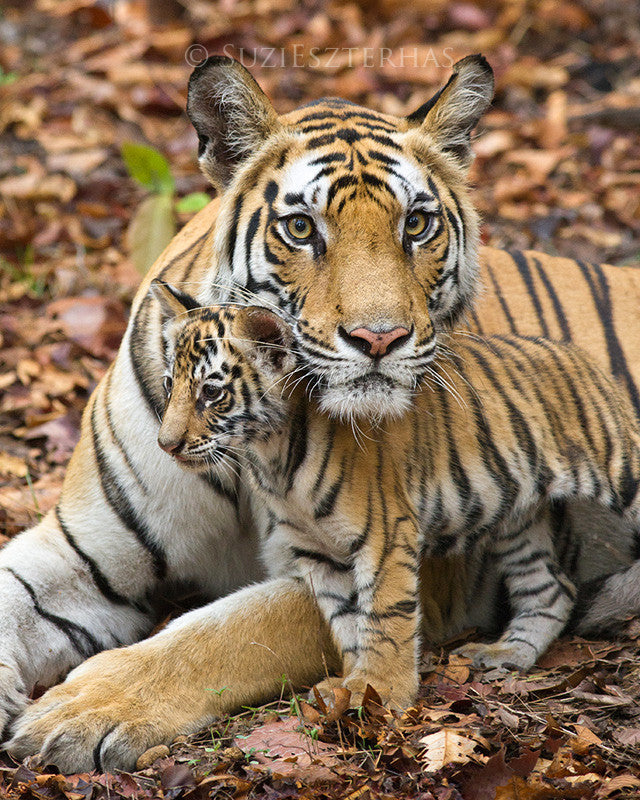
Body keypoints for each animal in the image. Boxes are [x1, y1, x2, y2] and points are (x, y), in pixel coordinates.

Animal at [3, 53, 640, 772]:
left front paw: (86, 709)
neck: (247, 443)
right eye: (301, 228)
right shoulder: (81, 548)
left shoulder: (420, 562)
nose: (379, 338)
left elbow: (229, 631)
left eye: (415, 224)